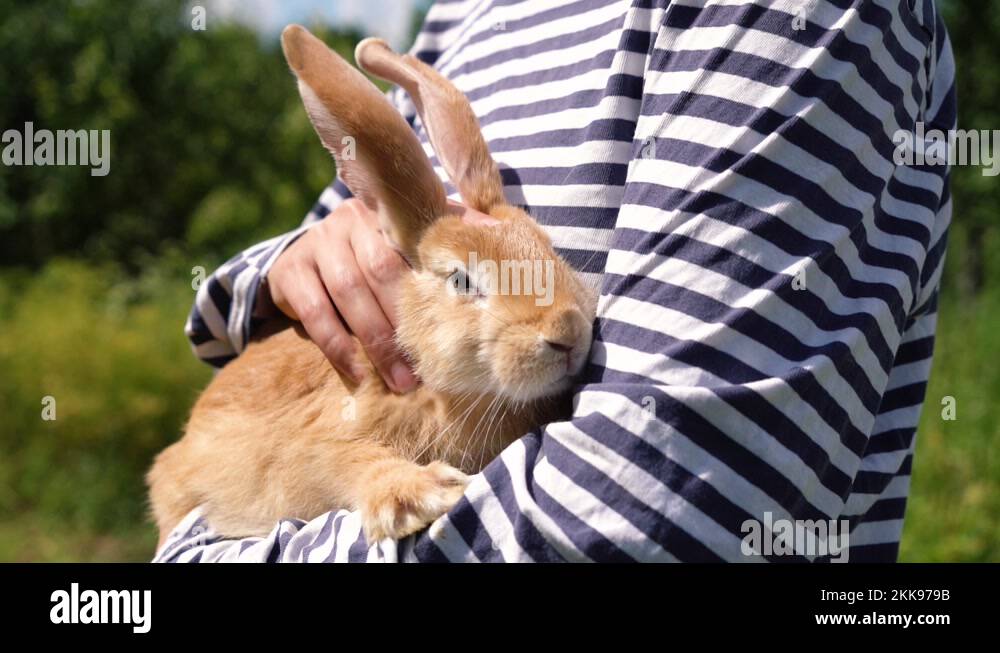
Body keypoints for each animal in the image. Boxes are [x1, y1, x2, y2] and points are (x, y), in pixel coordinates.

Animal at [147, 25, 597, 548]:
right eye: (461, 279)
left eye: (546, 246)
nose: (568, 333)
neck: (434, 386)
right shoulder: (311, 444)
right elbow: (339, 460)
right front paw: (423, 494)